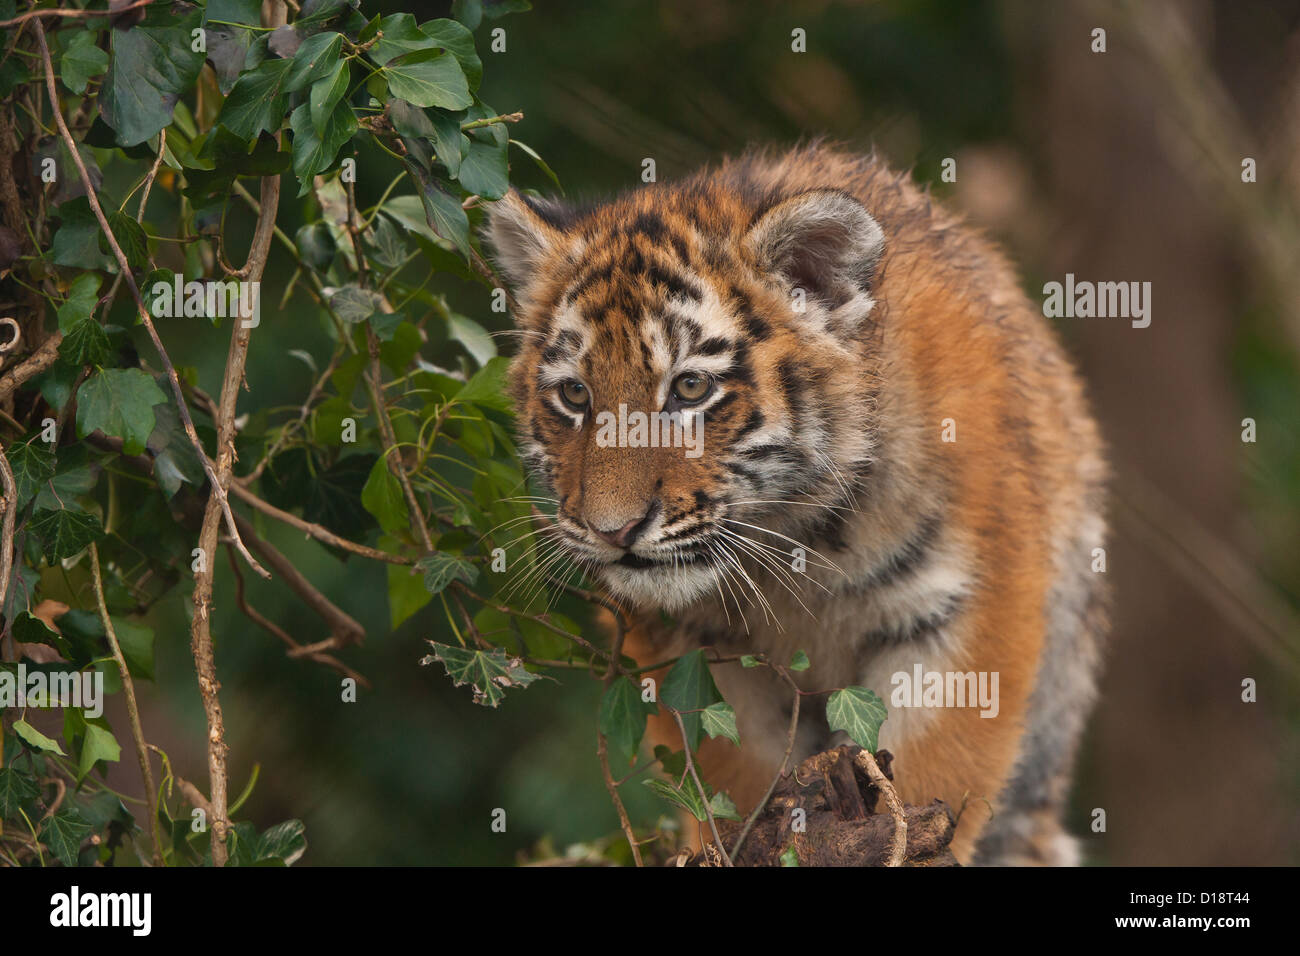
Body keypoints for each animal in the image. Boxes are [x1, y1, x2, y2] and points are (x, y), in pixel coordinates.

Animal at [485, 142, 1109, 865]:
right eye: (575, 396)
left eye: (691, 388)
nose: (613, 531)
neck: (795, 540)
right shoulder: (698, 652)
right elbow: (736, 782)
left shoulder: (965, 614)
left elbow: (928, 770)